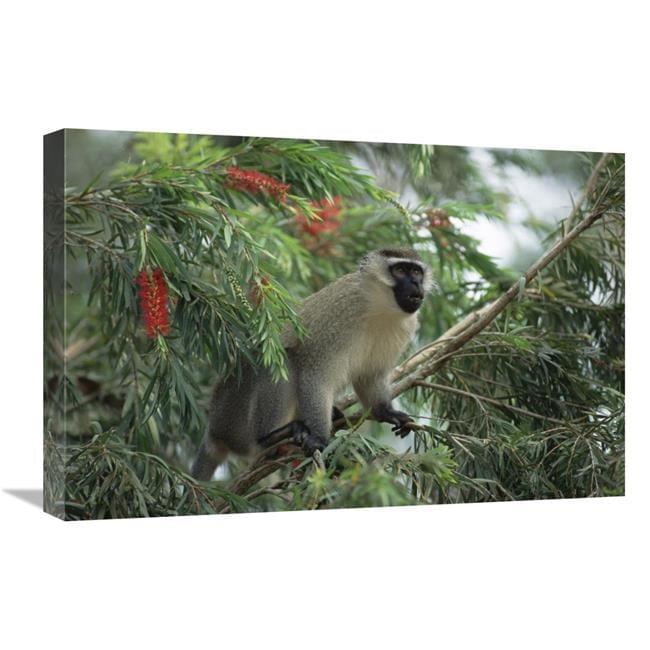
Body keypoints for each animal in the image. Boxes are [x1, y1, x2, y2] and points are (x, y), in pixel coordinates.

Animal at [191, 247, 433, 481]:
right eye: (400, 270)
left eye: (417, 272)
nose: (415, 284)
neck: (379, 308)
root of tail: (214, 429)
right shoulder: (338, 316)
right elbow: (316, 375)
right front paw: (319, 438)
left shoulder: (405, 327)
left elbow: (370, 376)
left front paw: (385, 411)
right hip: (236, 419)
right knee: (283, 361)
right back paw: (269, 438)